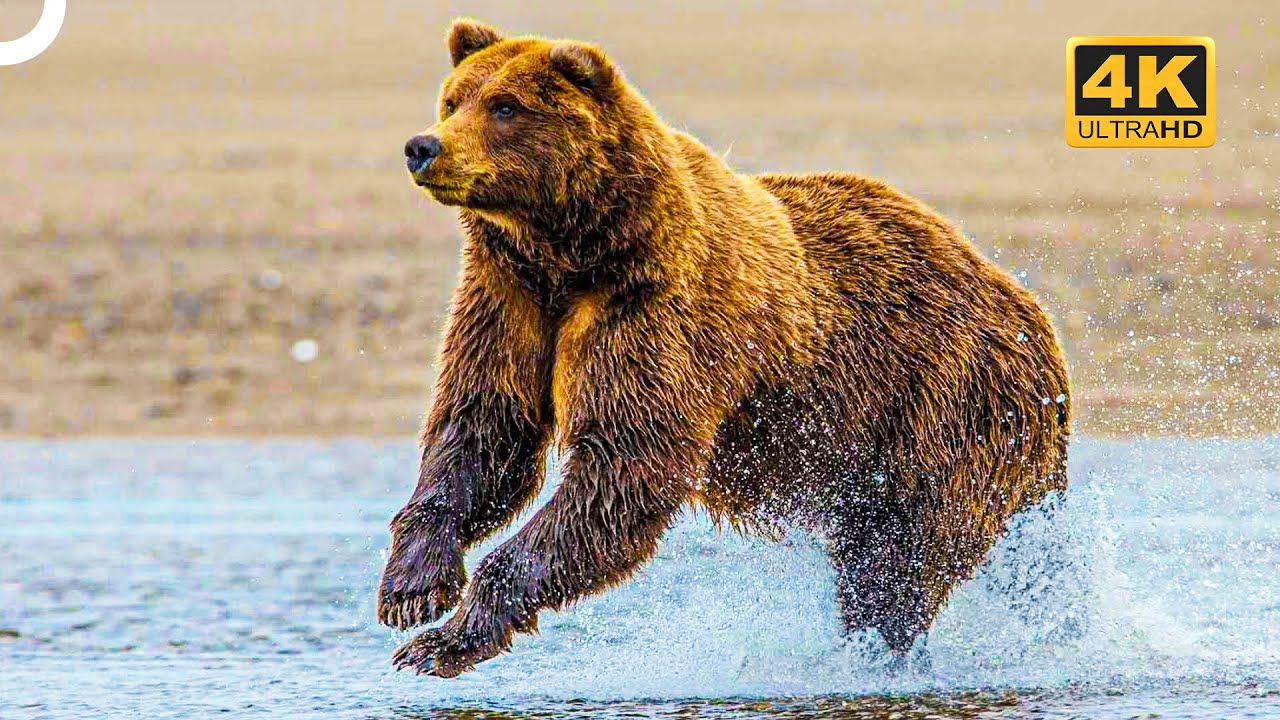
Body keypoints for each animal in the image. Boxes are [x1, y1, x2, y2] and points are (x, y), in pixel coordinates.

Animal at [377, 18, 1071, 677]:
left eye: (505, 106)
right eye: (453, 99)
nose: (423, 146)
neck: (568, 251)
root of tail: (1025, 305)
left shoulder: (654, 309)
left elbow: (624, 463)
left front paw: (441, 642)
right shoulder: (508, 299)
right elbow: (484, 430)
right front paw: (412, 587)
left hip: (943, 411)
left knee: (899, 563)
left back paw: (879, 652)